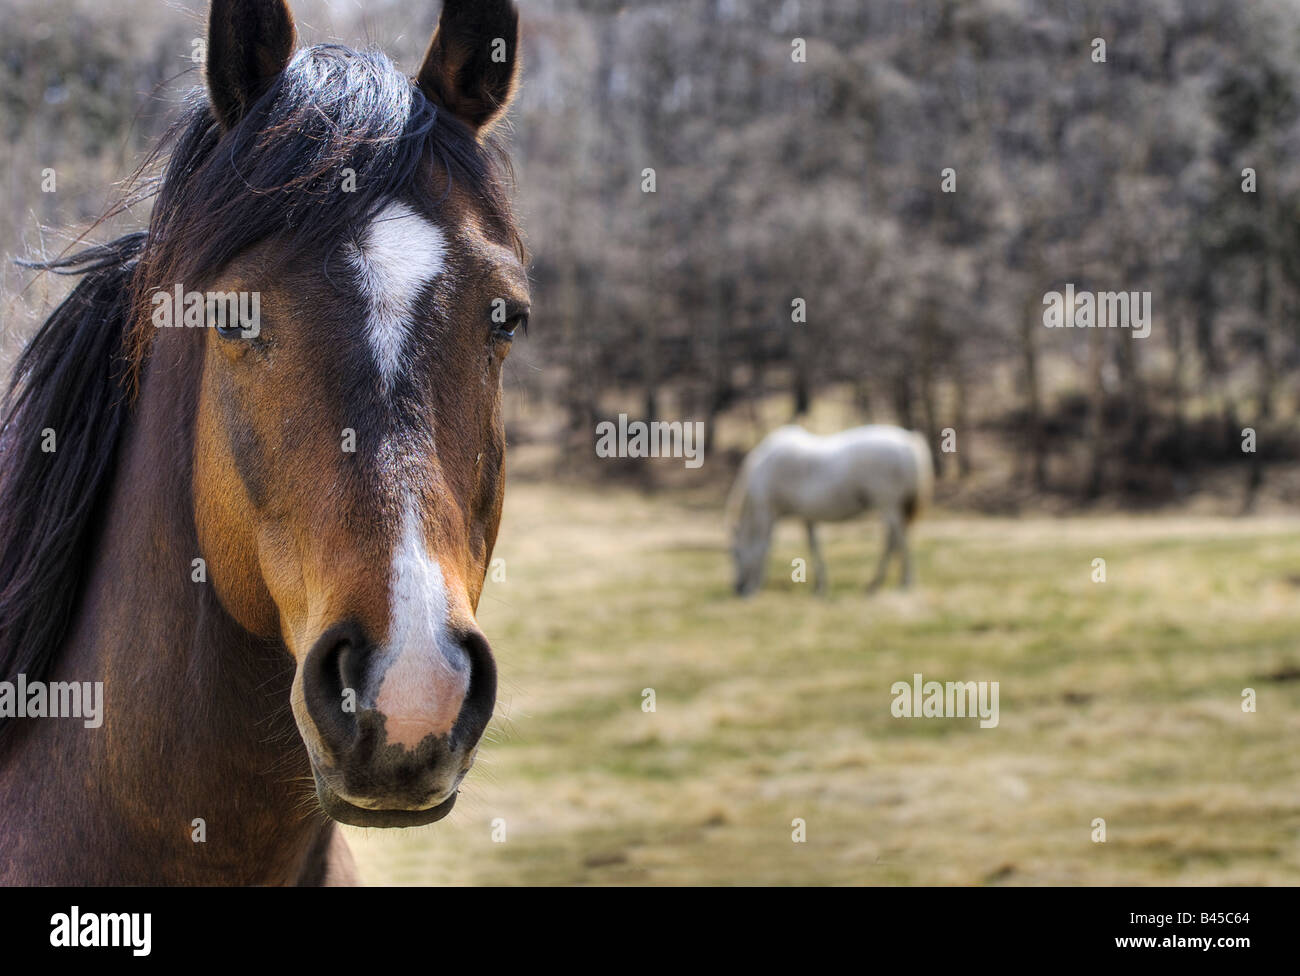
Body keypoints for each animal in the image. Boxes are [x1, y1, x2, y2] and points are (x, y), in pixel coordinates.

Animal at [727, 425, 934, 597]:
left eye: (735, 554)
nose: (738, 588)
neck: (763, 468)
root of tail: (908, 440)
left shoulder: (767, 512)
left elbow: (762, 548)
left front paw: (754, 587)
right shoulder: (807, 517)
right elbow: (813, 546)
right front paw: (820, 586)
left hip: (888, 506)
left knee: (899, 540)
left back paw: (903, 582)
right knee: (892, 540)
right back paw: (876, 583)